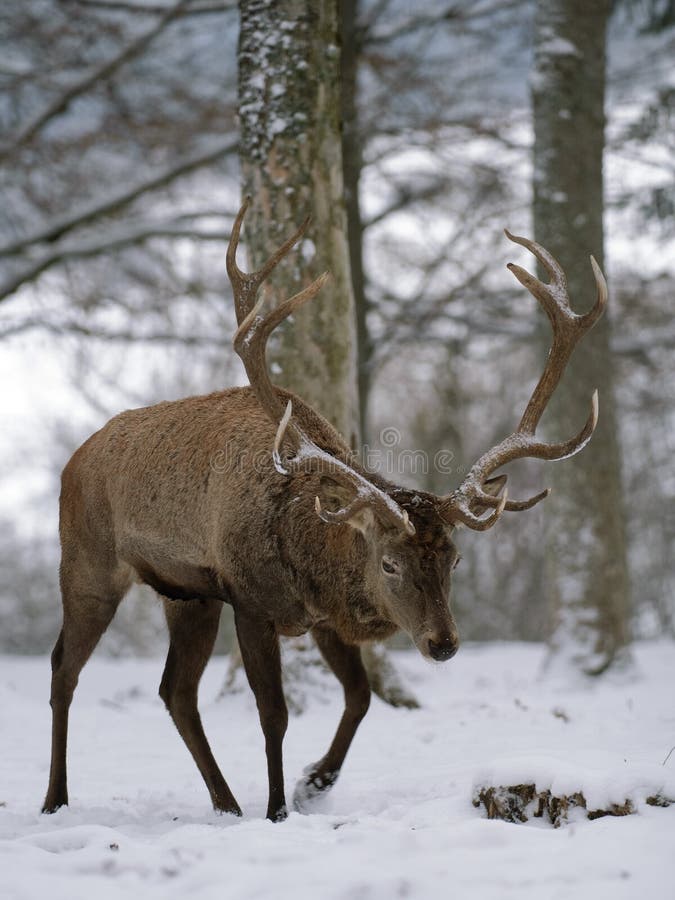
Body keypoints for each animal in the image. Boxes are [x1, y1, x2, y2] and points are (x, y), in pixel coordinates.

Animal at [43, 198, 606, 822]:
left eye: (455, 560)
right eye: (388, 563)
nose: (444, 643)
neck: (307, 552)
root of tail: (71, 462)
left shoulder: (324, 616)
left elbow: (359, 697)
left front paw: (316, 780)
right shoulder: (250, 600)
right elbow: (274, 714)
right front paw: (278, 809)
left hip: (186, 594)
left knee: (175, 691)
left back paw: (225, 804)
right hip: (89, 564)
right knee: (64, 669)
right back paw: (56, 799)